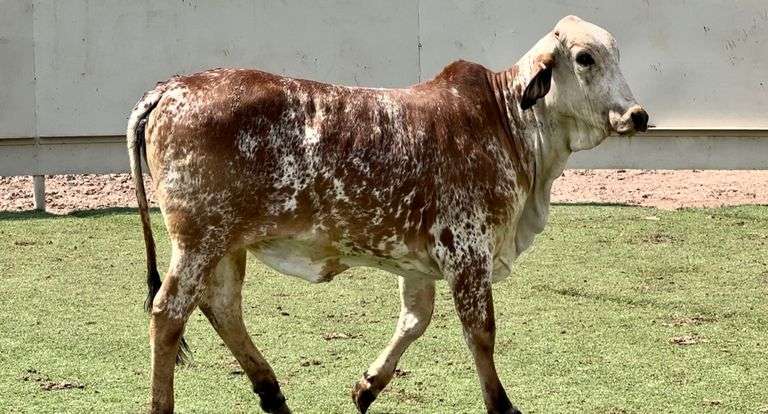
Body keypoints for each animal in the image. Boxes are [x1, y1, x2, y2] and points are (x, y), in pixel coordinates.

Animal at [127, 15, 648, 414]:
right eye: (585, 58)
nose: (638, 115)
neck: (510, 125)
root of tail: (169, 87)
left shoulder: (418, 262)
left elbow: (414, 320)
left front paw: (366, 387)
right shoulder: (467, 250)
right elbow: (480, 333)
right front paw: (502, 405)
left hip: (228, 243)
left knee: (222, 307)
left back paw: (272, 393)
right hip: (199, 240)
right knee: (169, 313)